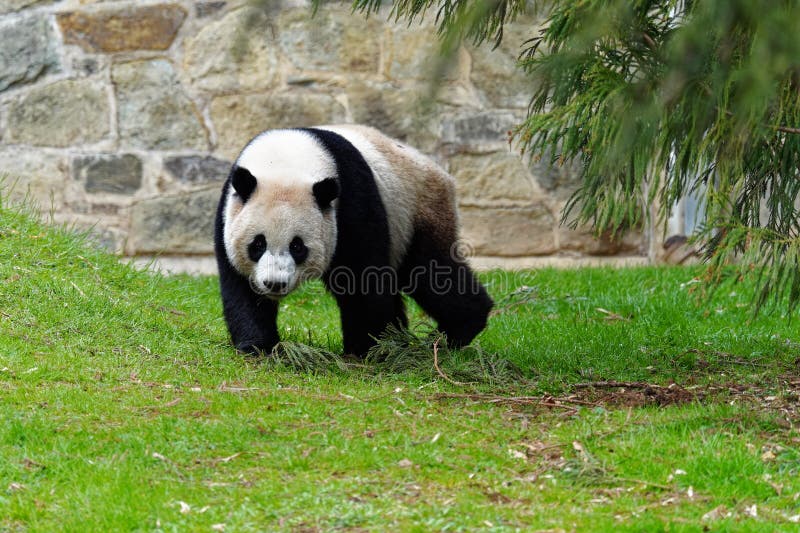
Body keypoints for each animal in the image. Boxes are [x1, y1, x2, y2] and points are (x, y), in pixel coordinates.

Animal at [214, 124, 493, 357]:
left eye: (297, 247)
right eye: (258, 244)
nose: (274, 283)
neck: (285, 159)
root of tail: (442, 175)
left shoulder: (351, 201)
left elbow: (362, 279)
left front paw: (363, 348)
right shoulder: (229, 212)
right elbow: (241, 287)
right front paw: (257, 345)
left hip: (418, 213)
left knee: (432, 272)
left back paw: (451, 333)